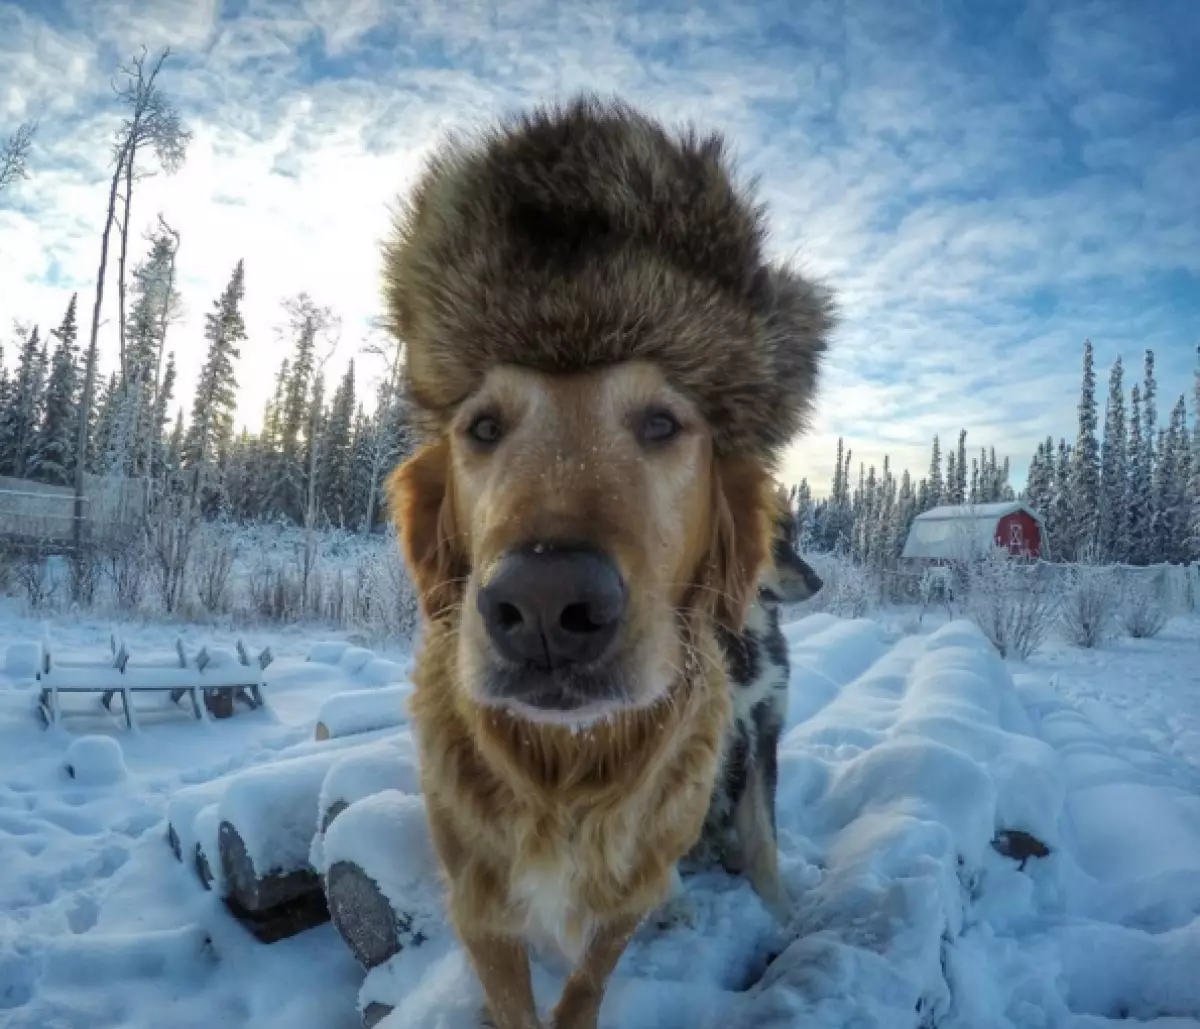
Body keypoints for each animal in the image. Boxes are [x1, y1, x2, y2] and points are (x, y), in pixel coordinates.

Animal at [384, 95, 835, 1026]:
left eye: (664, 422)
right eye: (483, 426)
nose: (545, 608)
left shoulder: (754, 739)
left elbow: (754, 846)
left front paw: (778, 907)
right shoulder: (485, 900)